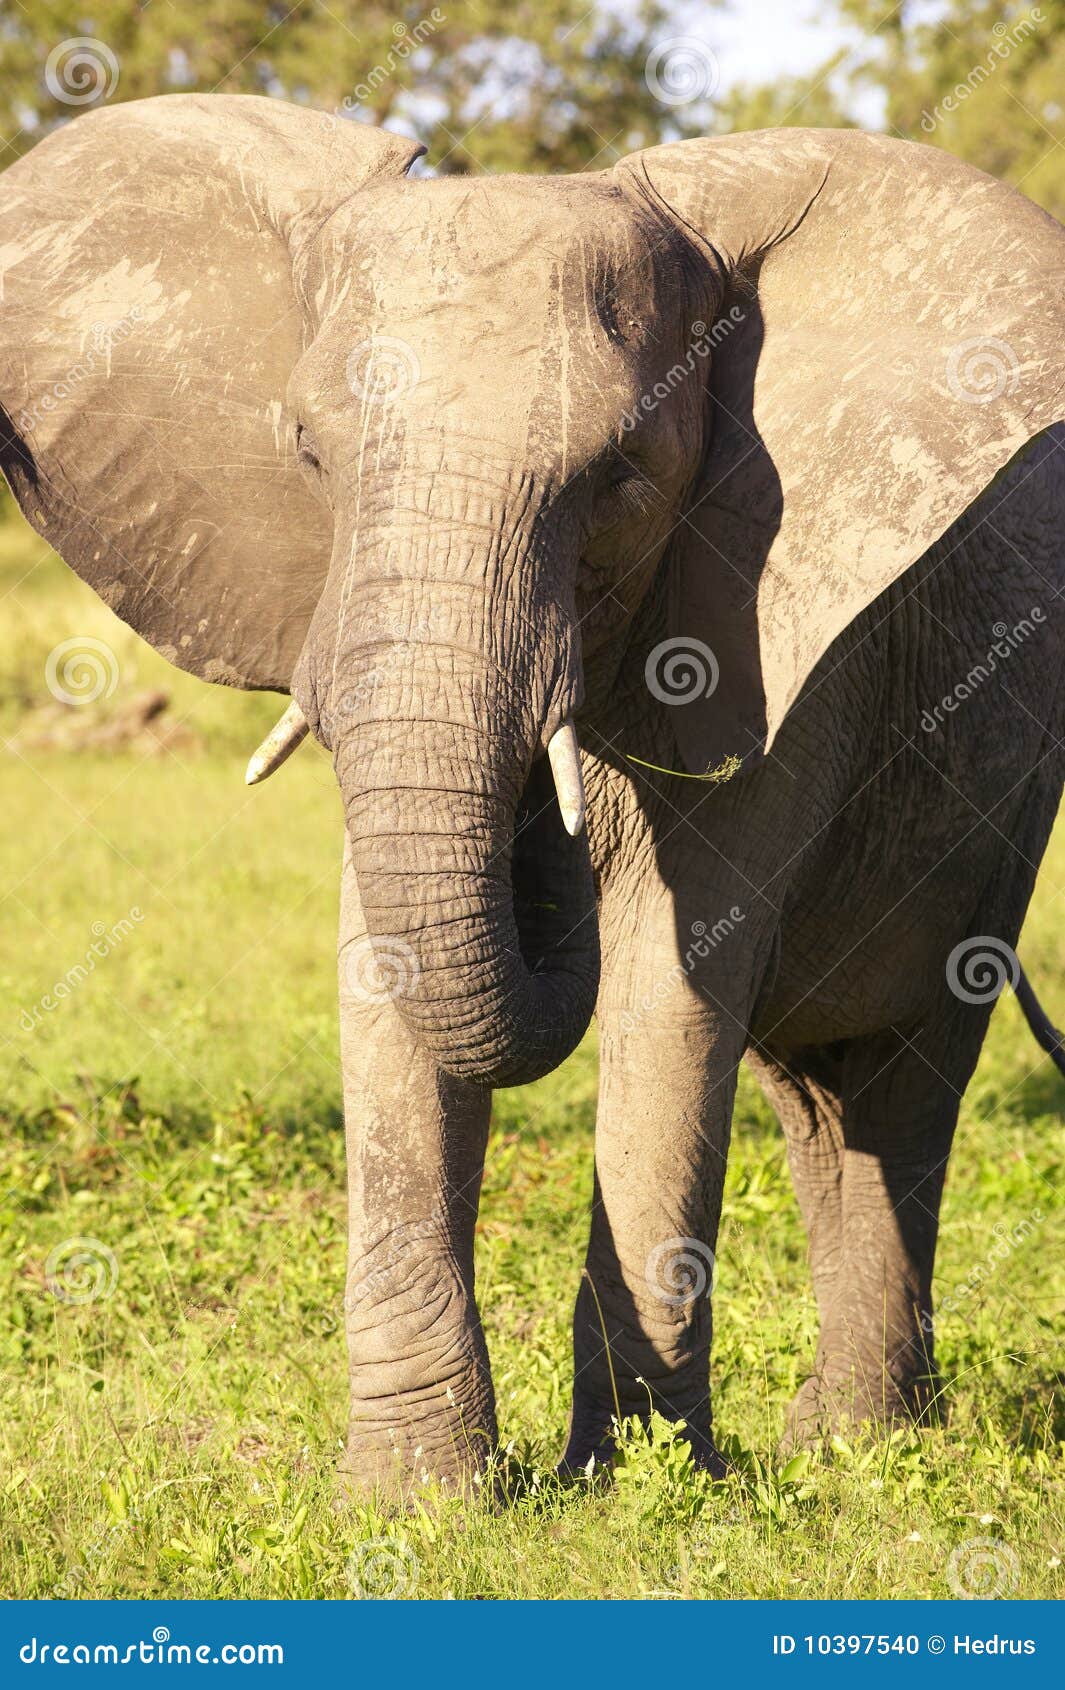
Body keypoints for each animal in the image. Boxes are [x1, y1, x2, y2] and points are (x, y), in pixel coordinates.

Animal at [2, 93, 1064, 1495]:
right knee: (821, 1100)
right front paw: (417, 1500)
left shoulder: (780, 641)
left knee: (910, 1064)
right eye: (308, 452)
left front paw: (628, 1486)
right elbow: (387, 964)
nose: (540, 841)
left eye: (620, 474)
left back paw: (859, 1442)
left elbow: (673, 982)